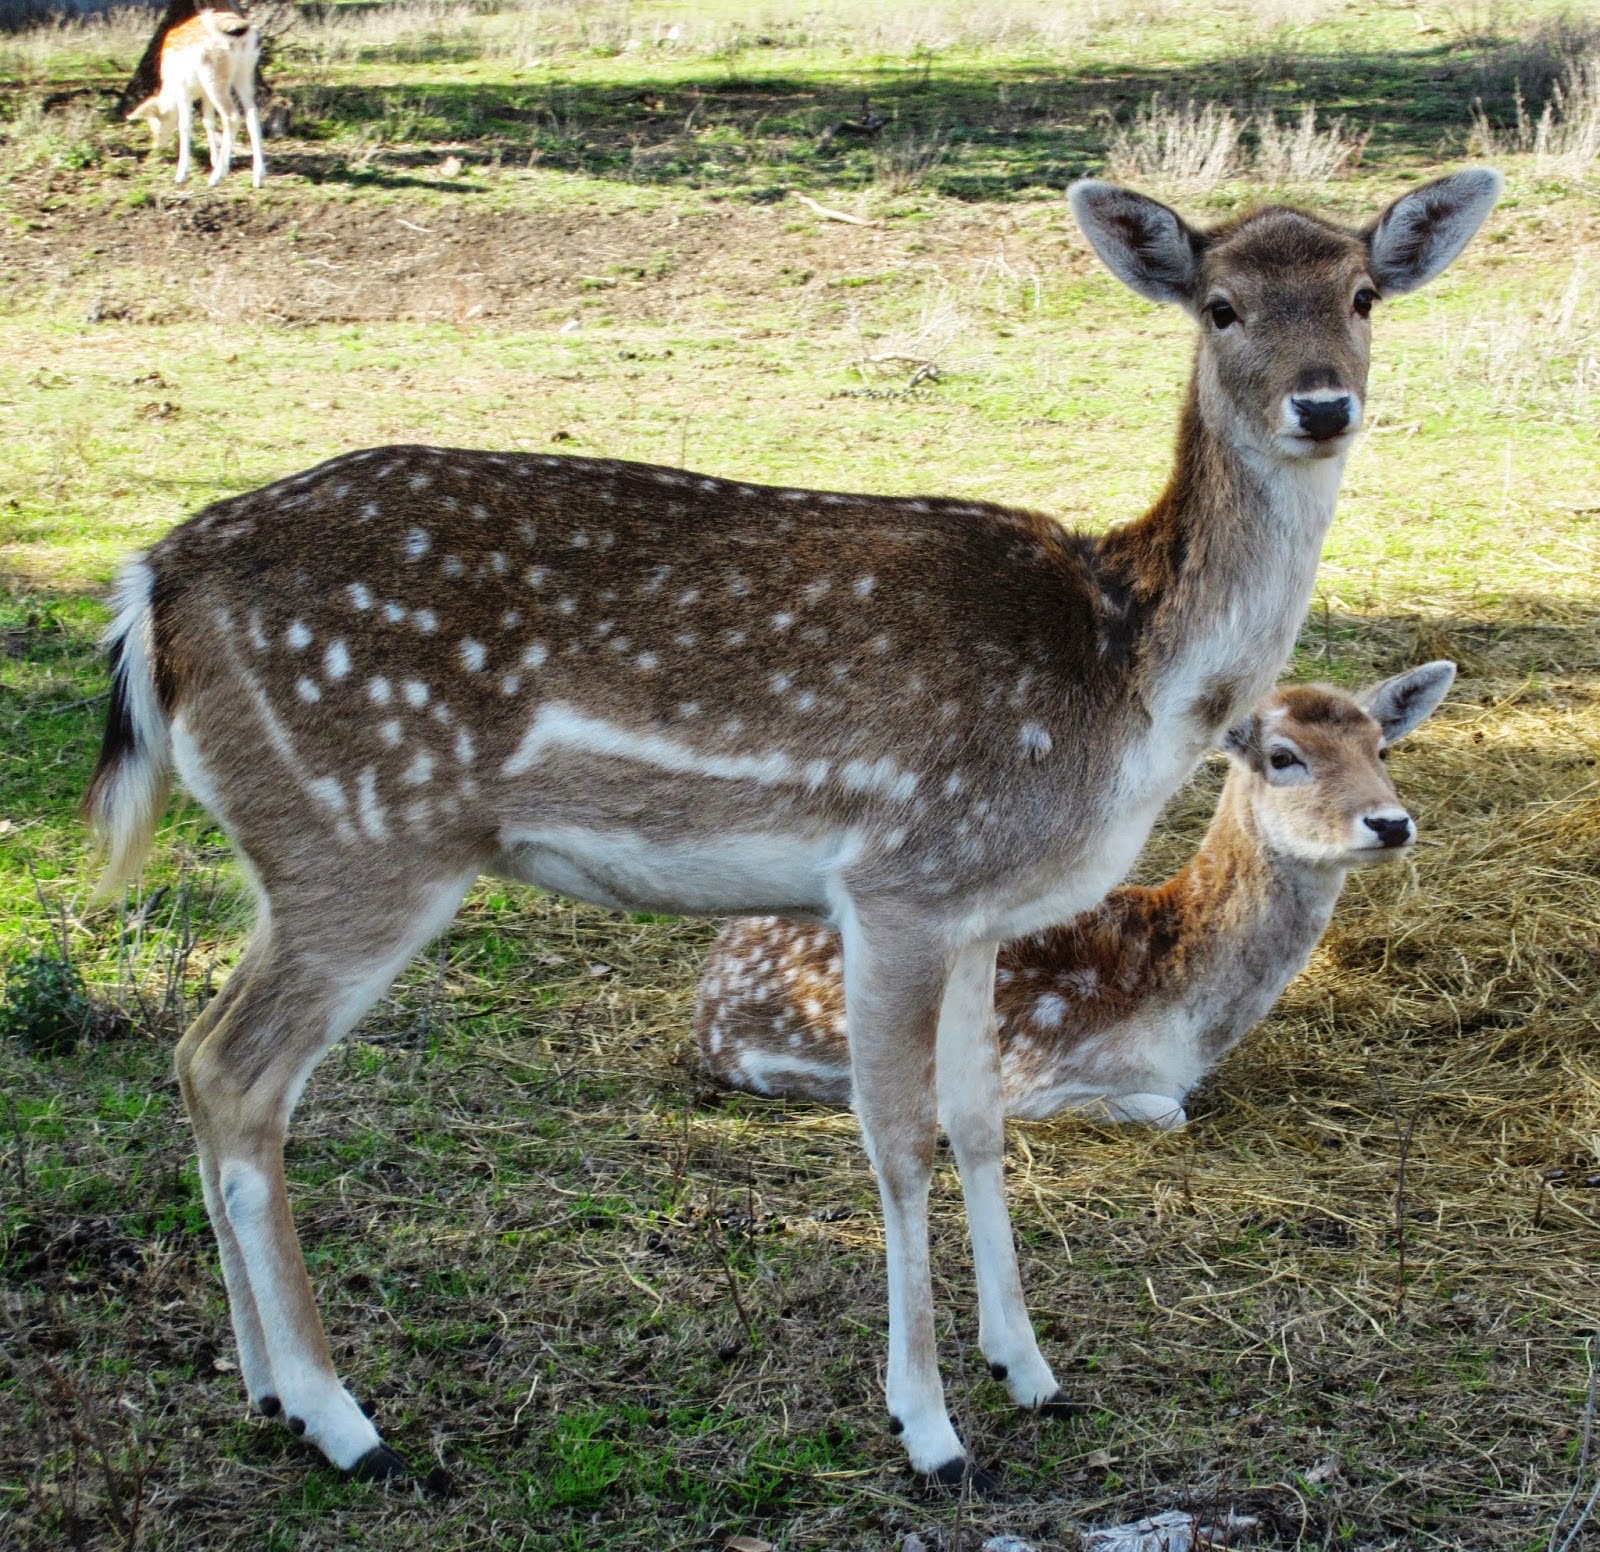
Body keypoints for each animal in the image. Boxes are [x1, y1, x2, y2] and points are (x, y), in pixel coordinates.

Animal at [126, 9, 266, 190]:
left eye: (154, 123)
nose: (156, 146)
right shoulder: (204, 94)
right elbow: (208, 121)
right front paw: (215, 161)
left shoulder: (183, 89)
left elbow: (185, 125)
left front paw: (182, 174)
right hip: (245, 72)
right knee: (252, 113)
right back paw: (258, 176)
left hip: (213, 76)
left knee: (232, 116)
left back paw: (215, 177)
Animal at [696, 665, 1456, 1124]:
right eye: (1283, 756)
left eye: (1382, 748)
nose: (1390, 822)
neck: (1182, 1020)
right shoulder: (1035, 1076)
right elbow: (1170, 1111)